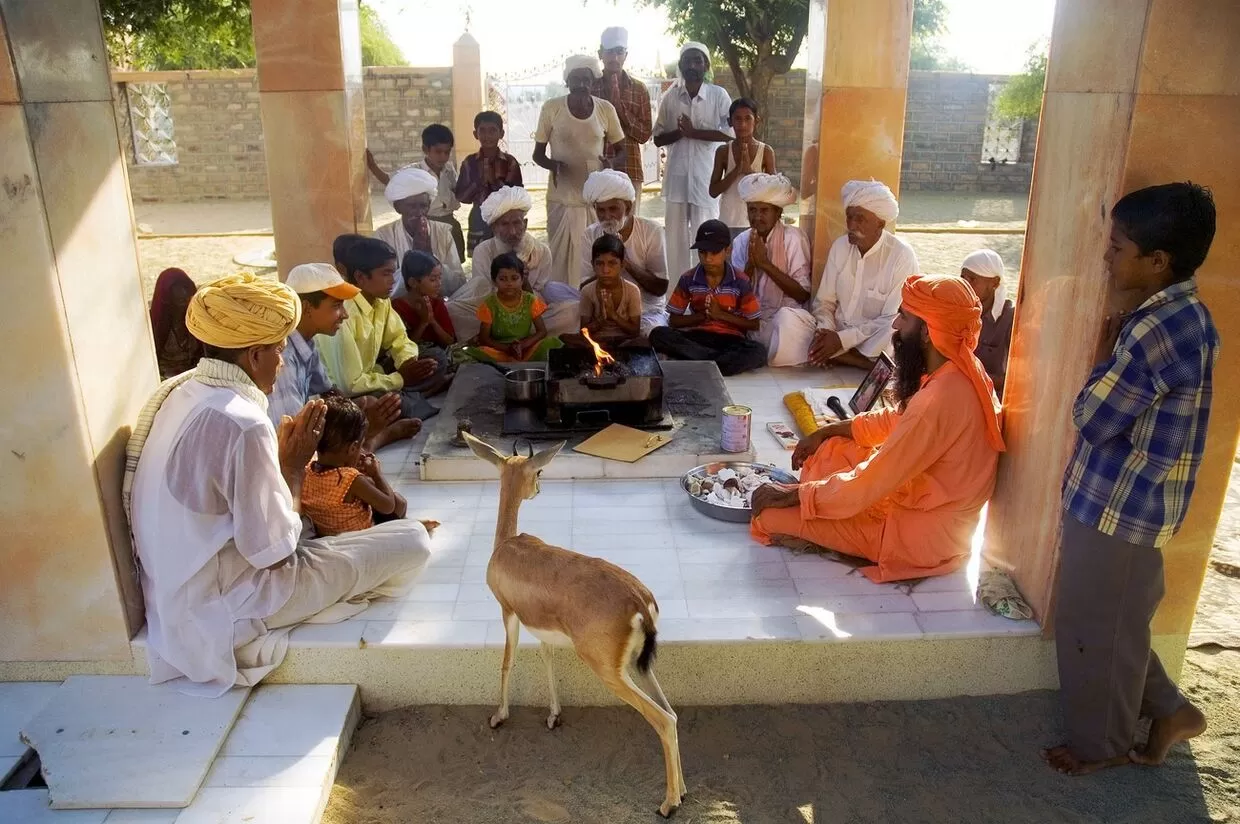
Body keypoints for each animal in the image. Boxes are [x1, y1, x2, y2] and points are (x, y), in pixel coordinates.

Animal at [461, 431, 689, 817]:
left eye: (537, 472)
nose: (539, 490)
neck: (507, 545)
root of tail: (639, 601)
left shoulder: (508, 612)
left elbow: (507, 661)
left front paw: (499, 716)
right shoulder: (544, 630)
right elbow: (548, 660)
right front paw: (553, 716)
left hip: (610, 672)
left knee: (663, 720)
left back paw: (667, 804)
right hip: (639, 666)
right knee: (672, 712)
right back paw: (683, 791)